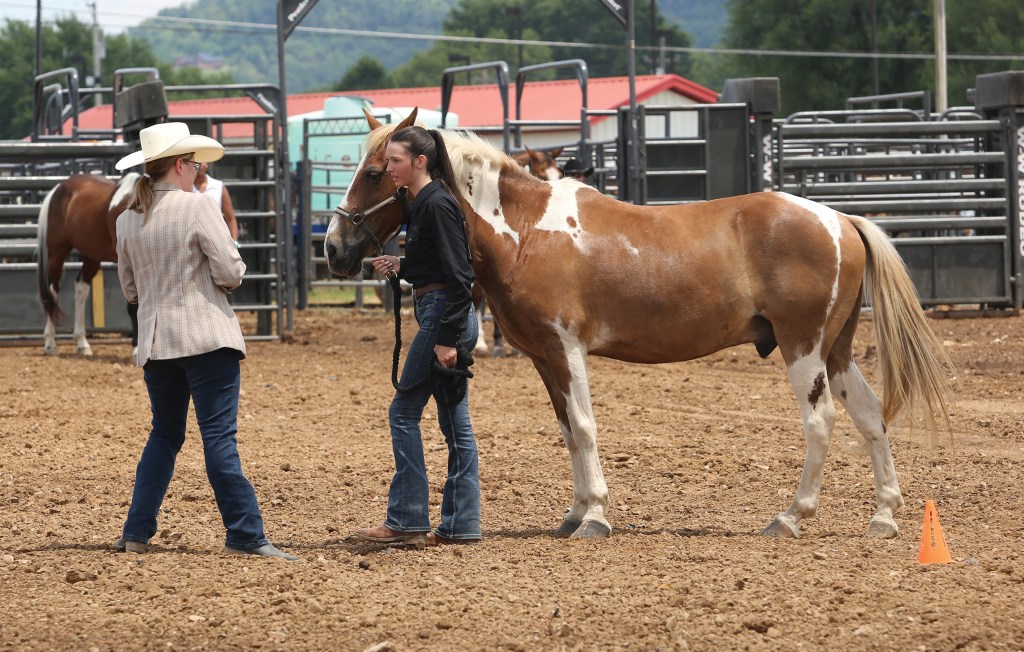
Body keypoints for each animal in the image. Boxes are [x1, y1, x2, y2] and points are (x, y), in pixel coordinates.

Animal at [37, 173, 141, 361]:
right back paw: (50, 343)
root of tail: (58, 187)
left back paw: (82, 343)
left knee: (80, 288)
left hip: (92, 256)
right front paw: (137, 350)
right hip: (56, 254)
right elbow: (134, 306)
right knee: (52, 292)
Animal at [325, 108, 954, 540]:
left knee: (821, 422)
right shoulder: (545, 357)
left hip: (803, 348)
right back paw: (884, 517)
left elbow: (584, 427)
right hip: (836, 350)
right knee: (871, 416)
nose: (334, 248)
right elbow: (567, 431)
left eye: (376, 171)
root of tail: (840, 219)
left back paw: (790, 518)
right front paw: (574, 512)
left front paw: (596, 518)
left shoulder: (567, 349)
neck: (524, 231)